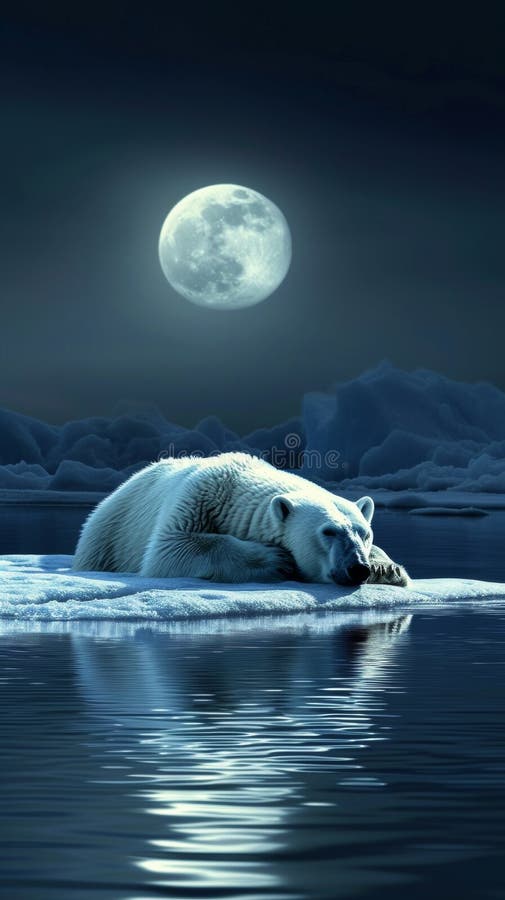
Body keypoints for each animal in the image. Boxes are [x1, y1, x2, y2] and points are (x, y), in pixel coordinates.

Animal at [72, 451, 410, 587]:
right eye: (328, 532)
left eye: (364, 533)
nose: (357, 568)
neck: (235, 486)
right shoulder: (195, 499)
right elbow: (171, 549)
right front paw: (277, 560)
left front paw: (387, 567)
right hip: (110, 535)